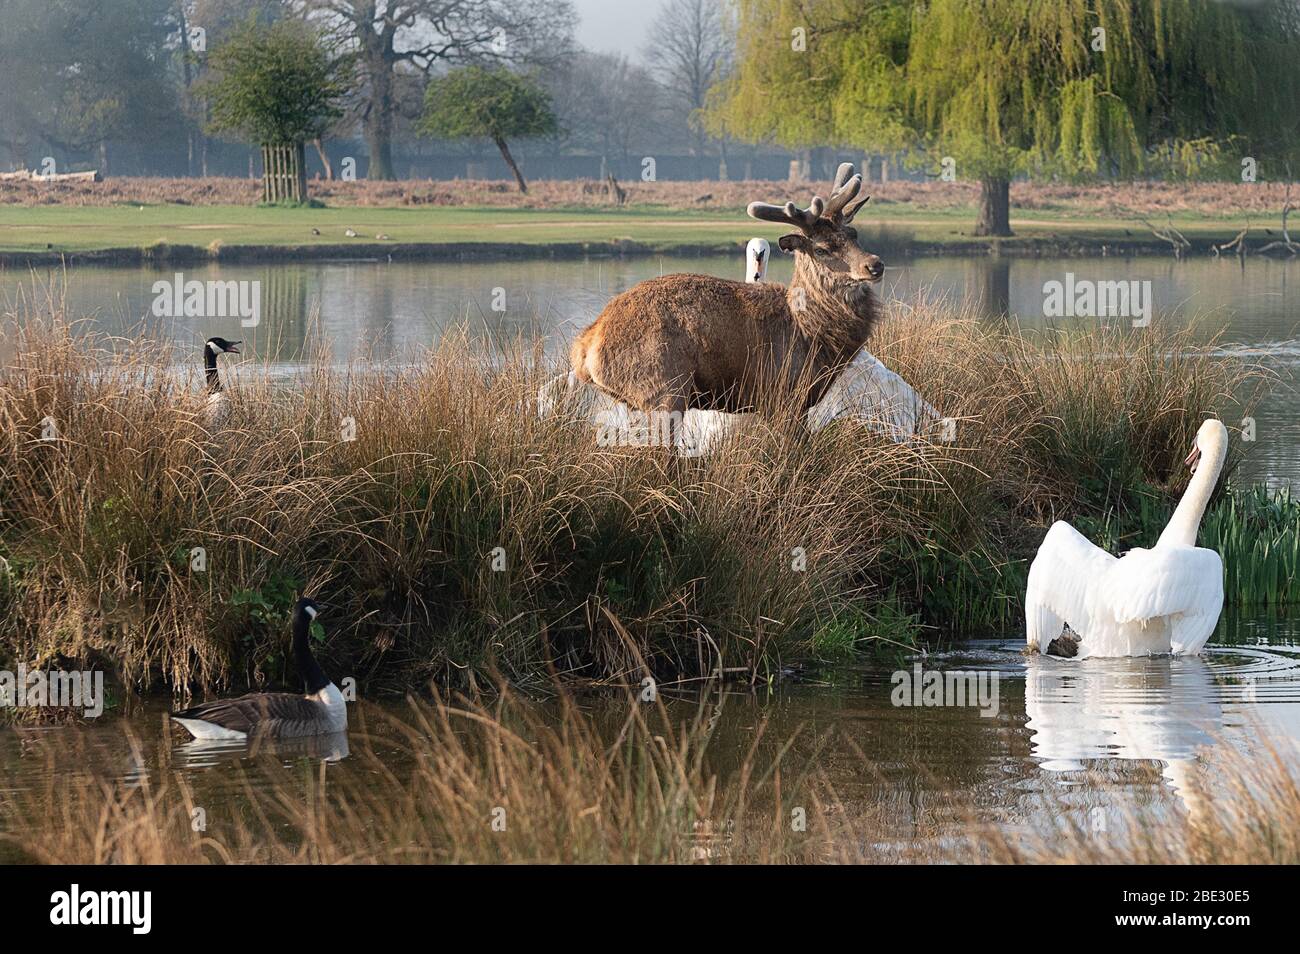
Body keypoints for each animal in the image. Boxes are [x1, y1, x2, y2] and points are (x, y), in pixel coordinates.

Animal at [569, 163, 884, 447]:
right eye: (821, 248)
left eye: (854, 234)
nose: (875, 264)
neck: (813, 336)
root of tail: (586, 347)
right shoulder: (781, 394)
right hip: (664, 387)